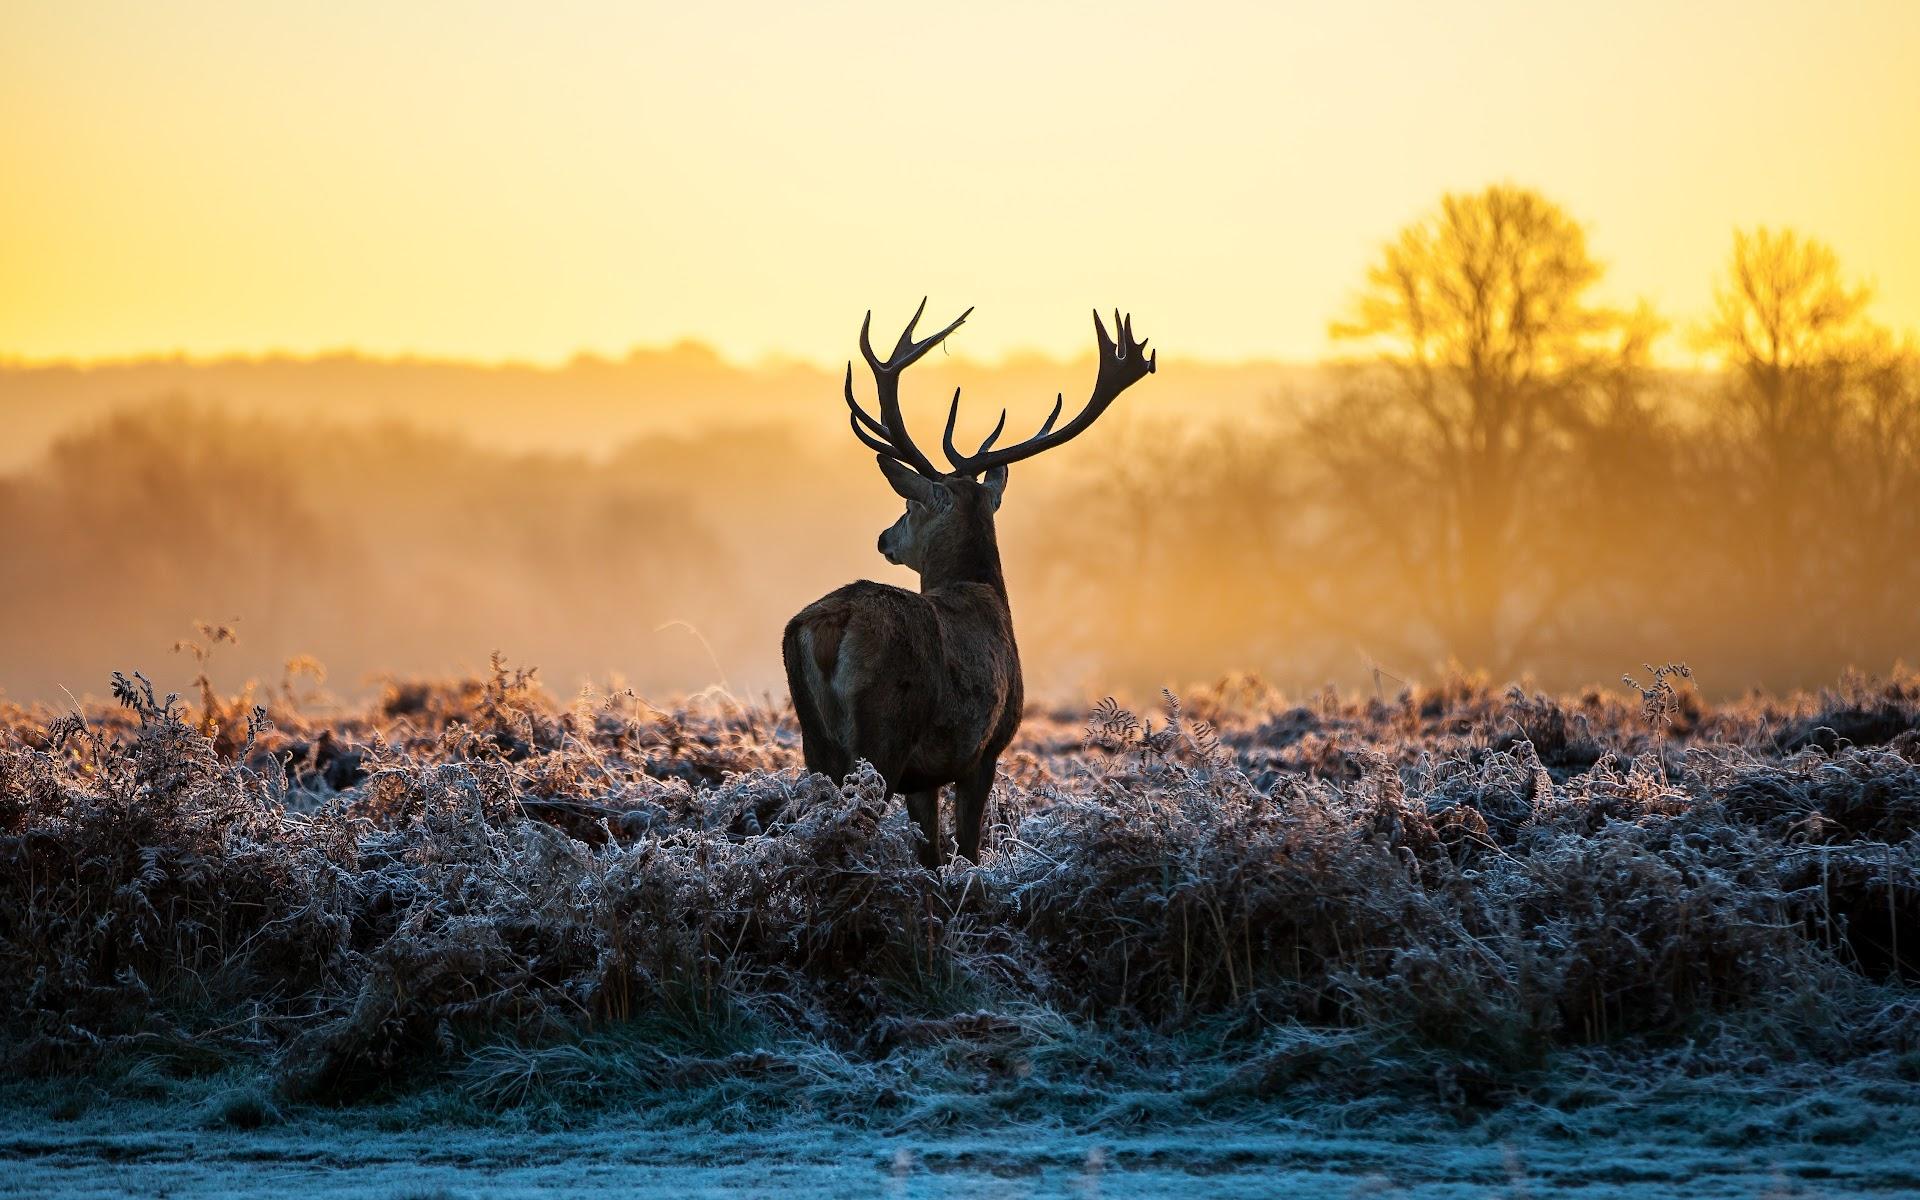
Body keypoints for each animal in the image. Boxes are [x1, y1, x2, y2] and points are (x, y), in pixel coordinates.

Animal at [782, 301, 1156, 867]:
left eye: (910, 504)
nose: (884, 537)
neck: (984, 592)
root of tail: (831, 625)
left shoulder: (926, 775)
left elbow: (932, 853)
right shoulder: (984, 750)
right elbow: (967, 850)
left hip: (816, 742)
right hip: (884, 732)